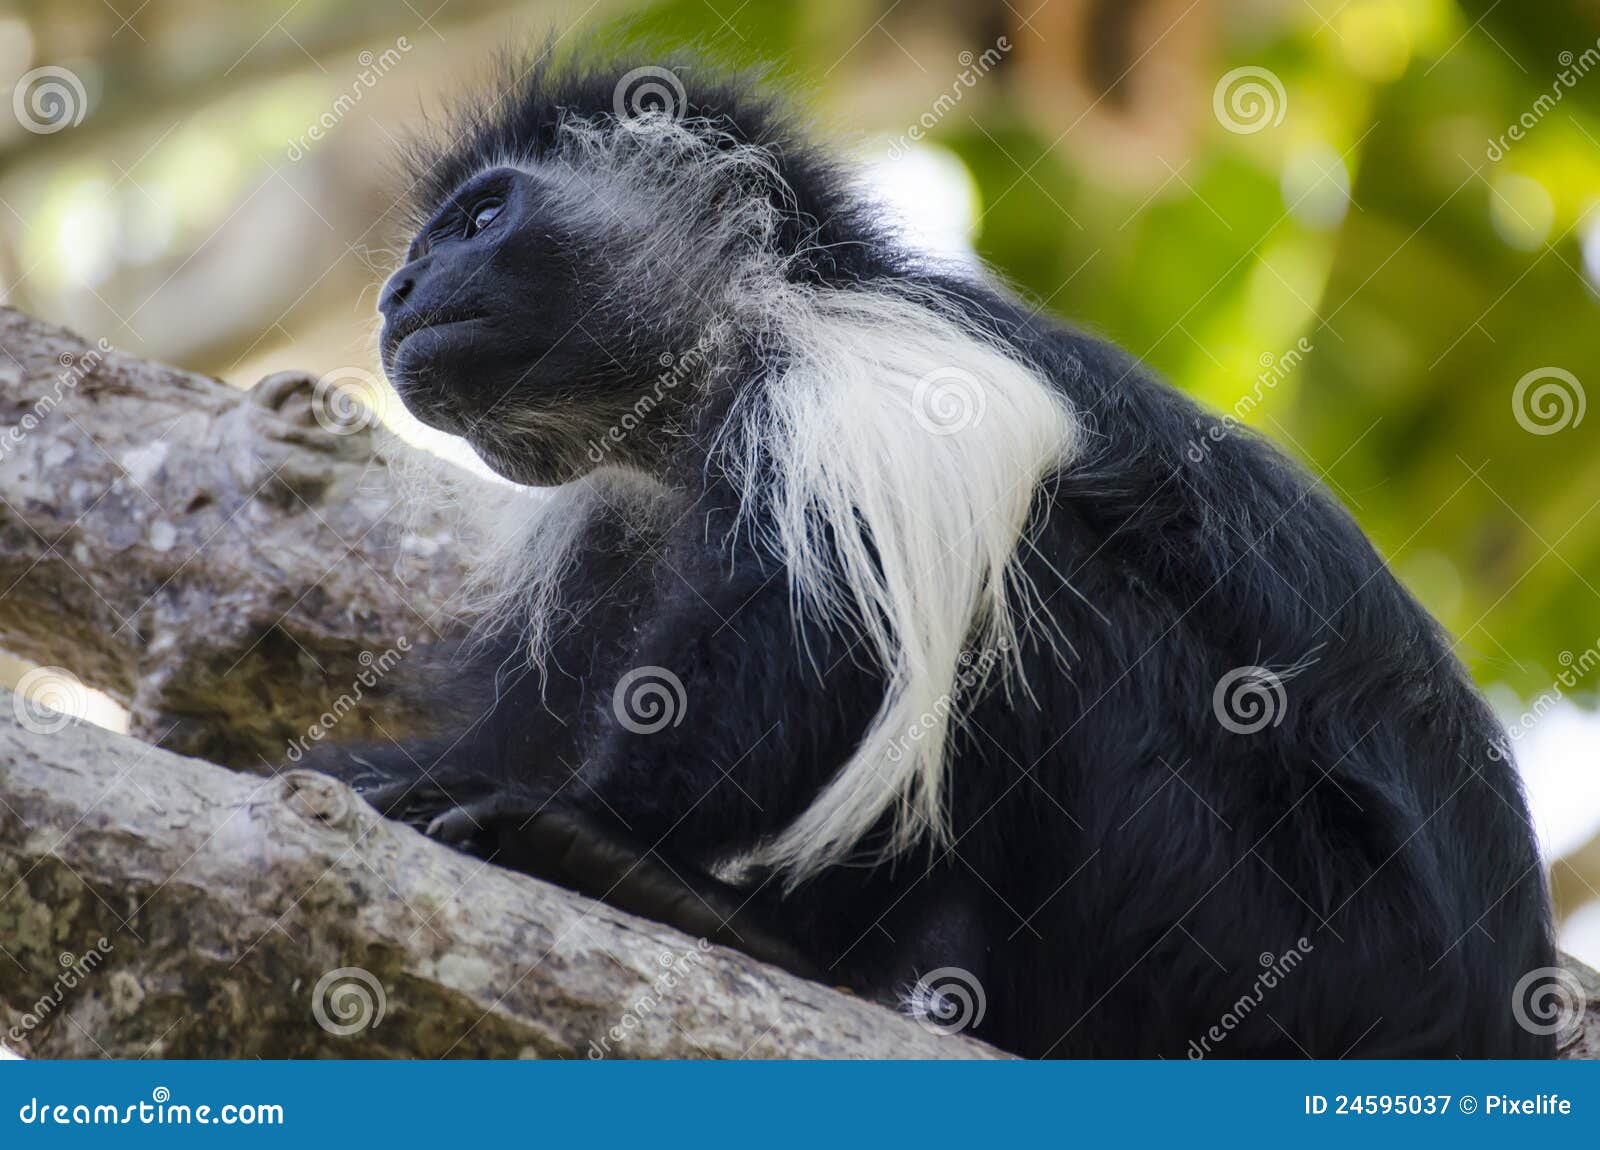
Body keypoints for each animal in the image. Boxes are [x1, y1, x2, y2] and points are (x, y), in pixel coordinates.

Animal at [303, 49, 1555, 1059]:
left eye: (479, 218)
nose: (397, 291)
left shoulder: (858, 383)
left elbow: (810, 645)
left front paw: (582, 821)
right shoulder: (613, 525)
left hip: (1268, 934)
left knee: (1032, 595)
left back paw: (717, 909)